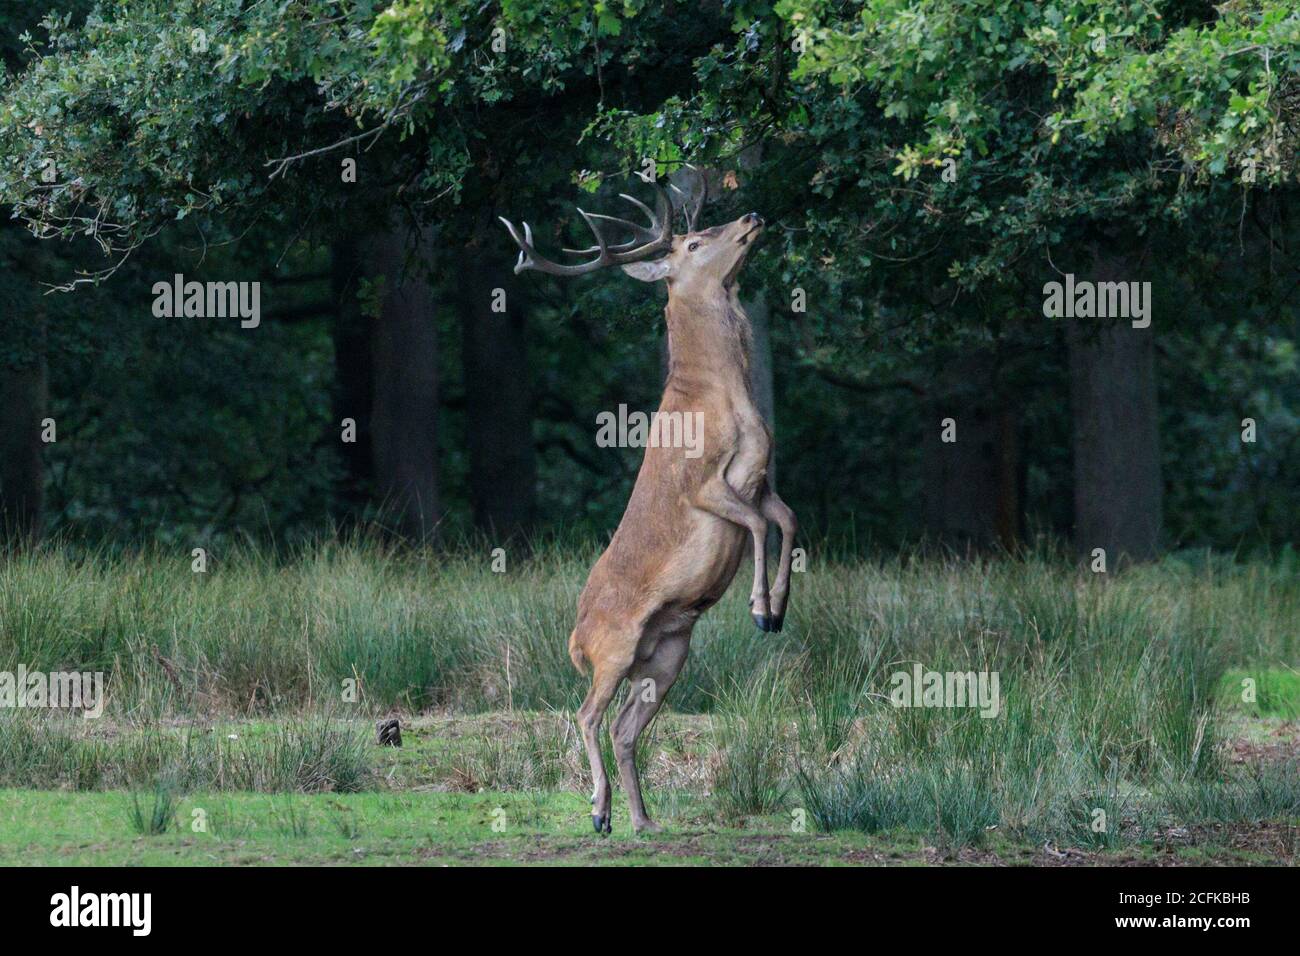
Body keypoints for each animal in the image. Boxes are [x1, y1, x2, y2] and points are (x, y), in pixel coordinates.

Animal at [500, 173, 797, 835]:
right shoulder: (702, 483)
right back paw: (599, 811)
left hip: (666, 655)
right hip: (613, 651)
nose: (752, 216)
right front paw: (759, 608)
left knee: (625, 727)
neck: (720, 401)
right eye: (693, 243)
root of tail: (574, 641)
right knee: (588, 714)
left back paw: (642, 820)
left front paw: (779, 609)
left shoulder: (762, 479)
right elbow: (757, 524)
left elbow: (786, 520)